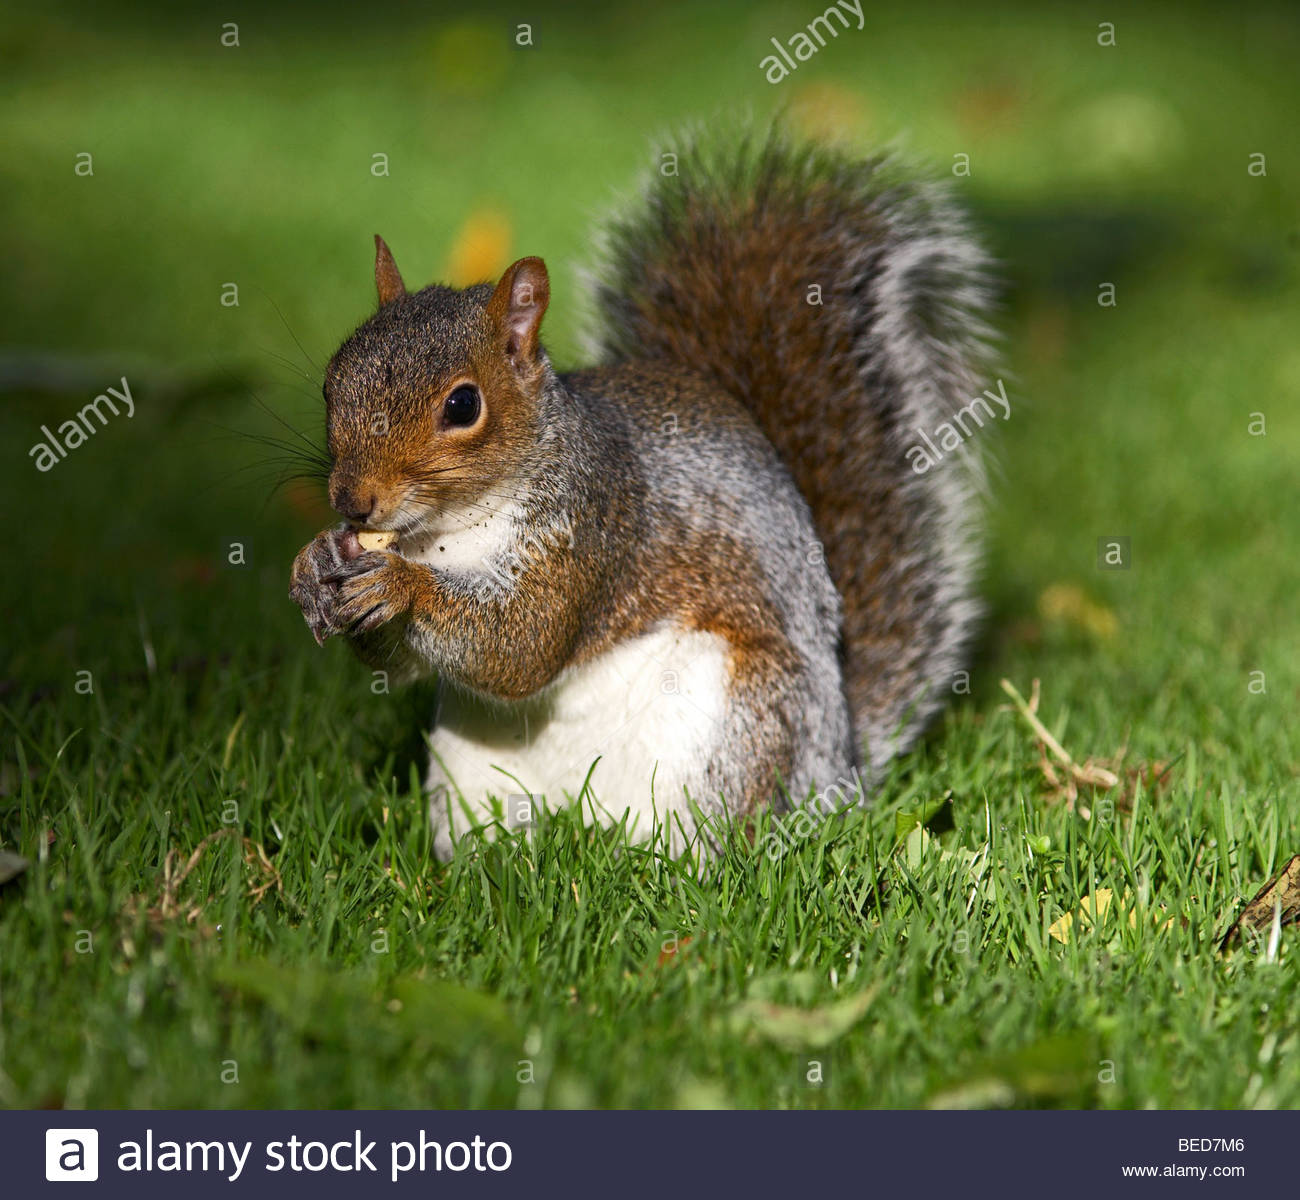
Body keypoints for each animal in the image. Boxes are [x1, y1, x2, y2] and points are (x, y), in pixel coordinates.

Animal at [289, 125, 993, 859]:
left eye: (462, 405)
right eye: (332, 383)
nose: (353, 502)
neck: (446, 534)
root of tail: (836, 764)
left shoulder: (593, 529)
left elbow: (523, 645)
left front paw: (399, 586)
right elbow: (402, 665)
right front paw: (313, 568)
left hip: (729, 732)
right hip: (470, 766)